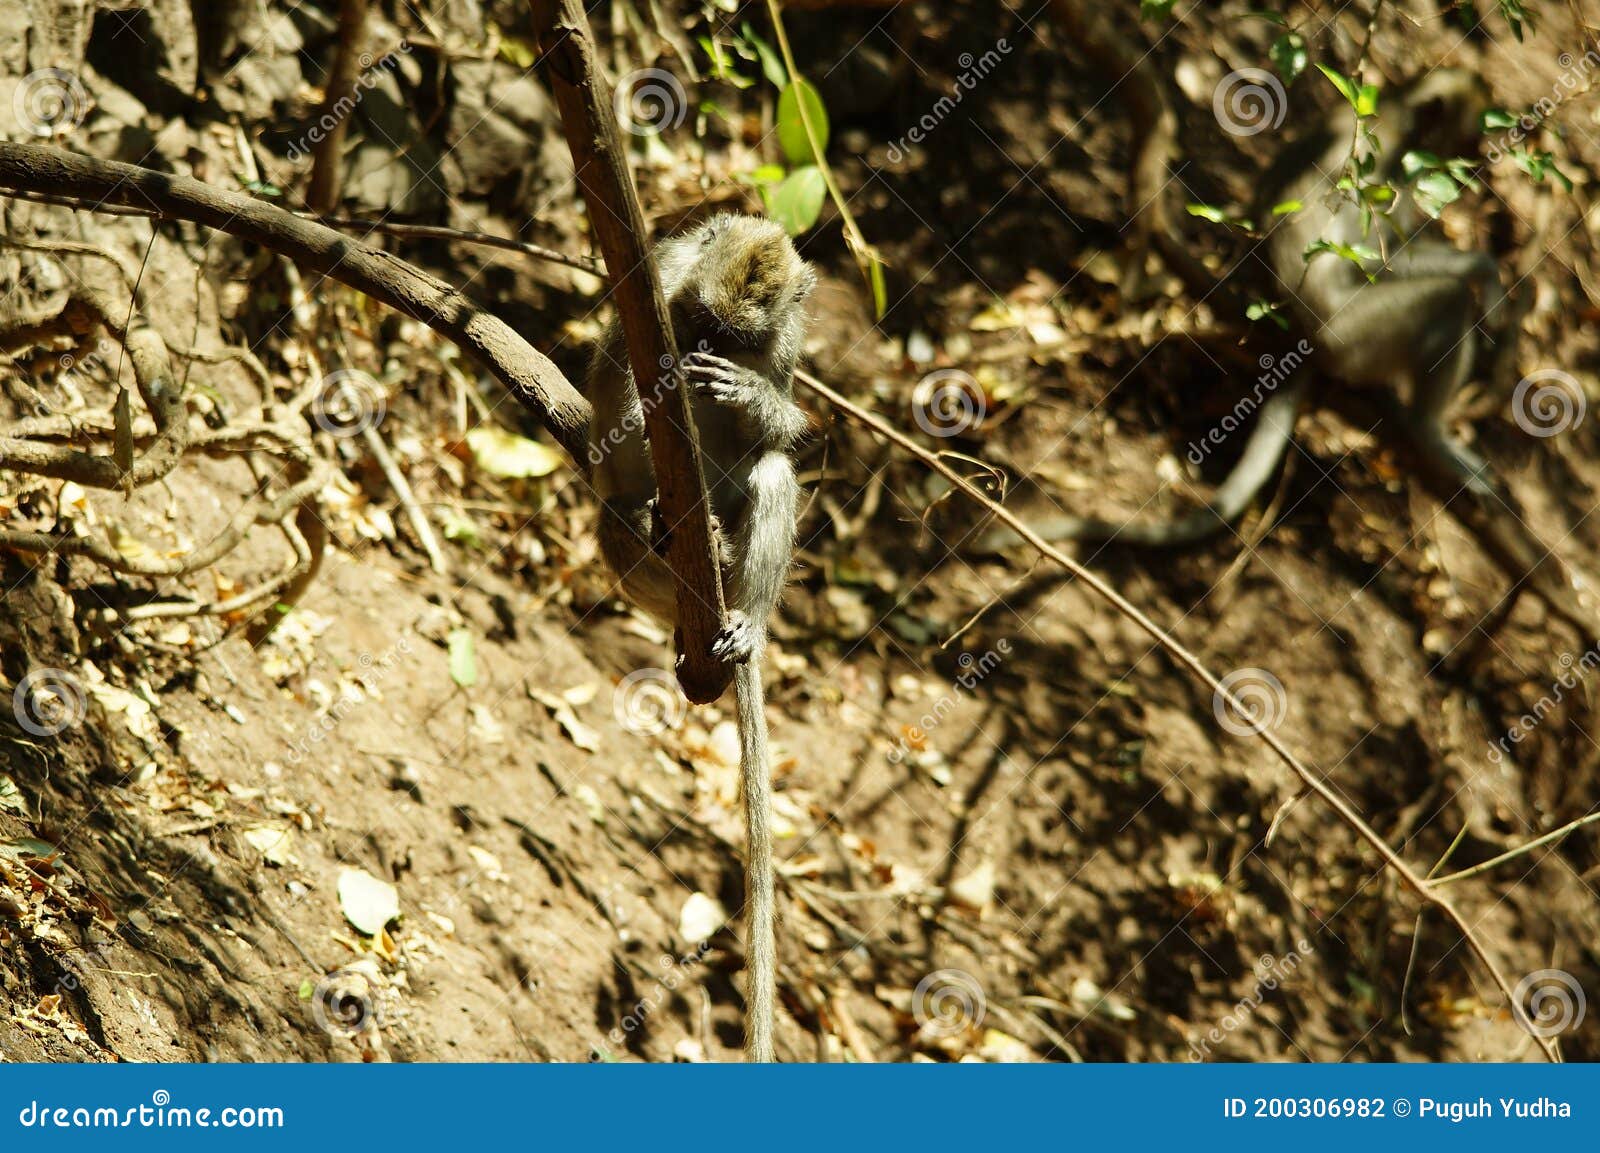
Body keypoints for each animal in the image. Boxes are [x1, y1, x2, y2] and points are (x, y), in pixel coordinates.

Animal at [588, 212, 814, 1062]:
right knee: (615, 522)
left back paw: (740, 615)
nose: (705, 348)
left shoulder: (785, 339)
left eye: (736, 337)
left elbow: (788, 422)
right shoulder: (657, 280)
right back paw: (663, 535)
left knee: (772, 472)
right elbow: (613, 375)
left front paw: (750, 395)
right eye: (700, 323)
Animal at [971, 69, 1504, 556]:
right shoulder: (1382, 163)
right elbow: (1371, 260)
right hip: (1355, 335)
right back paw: (1429, 430)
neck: (1400, 107)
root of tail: (1302, 338)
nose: (1467, 169)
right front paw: (1487, 270)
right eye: (1465, 140)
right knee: (1447, 301)